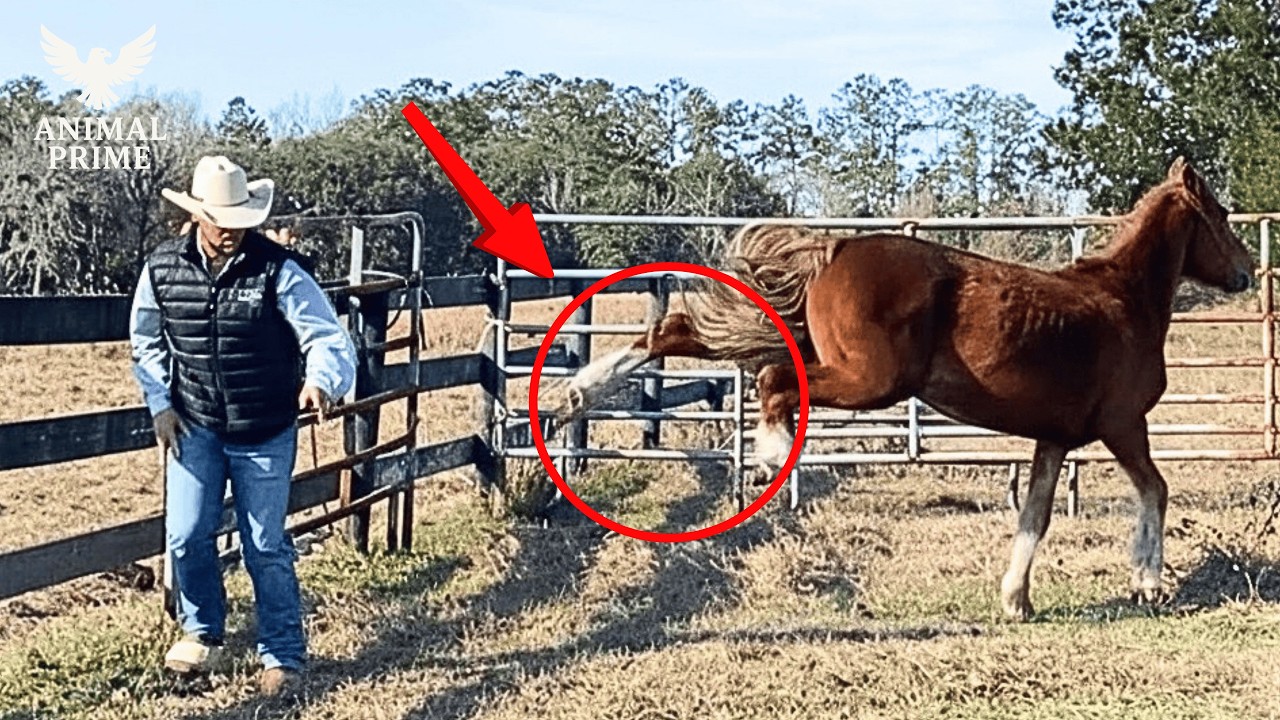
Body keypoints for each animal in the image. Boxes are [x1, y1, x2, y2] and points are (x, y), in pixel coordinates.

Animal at [545, 157, 1254, 620]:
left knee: (677, 333)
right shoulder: (1123, 425)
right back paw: (770, 457)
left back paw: (579, 391)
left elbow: (1036, 514)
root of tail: (832, 252)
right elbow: (1156, 490)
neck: (1123, 301)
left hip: (803, 344)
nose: (1248, 271)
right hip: (867, 381)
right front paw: (1147, 582)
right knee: (771, 380)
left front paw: (1016, 600)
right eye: (1220, 216)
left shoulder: (1053, 439)